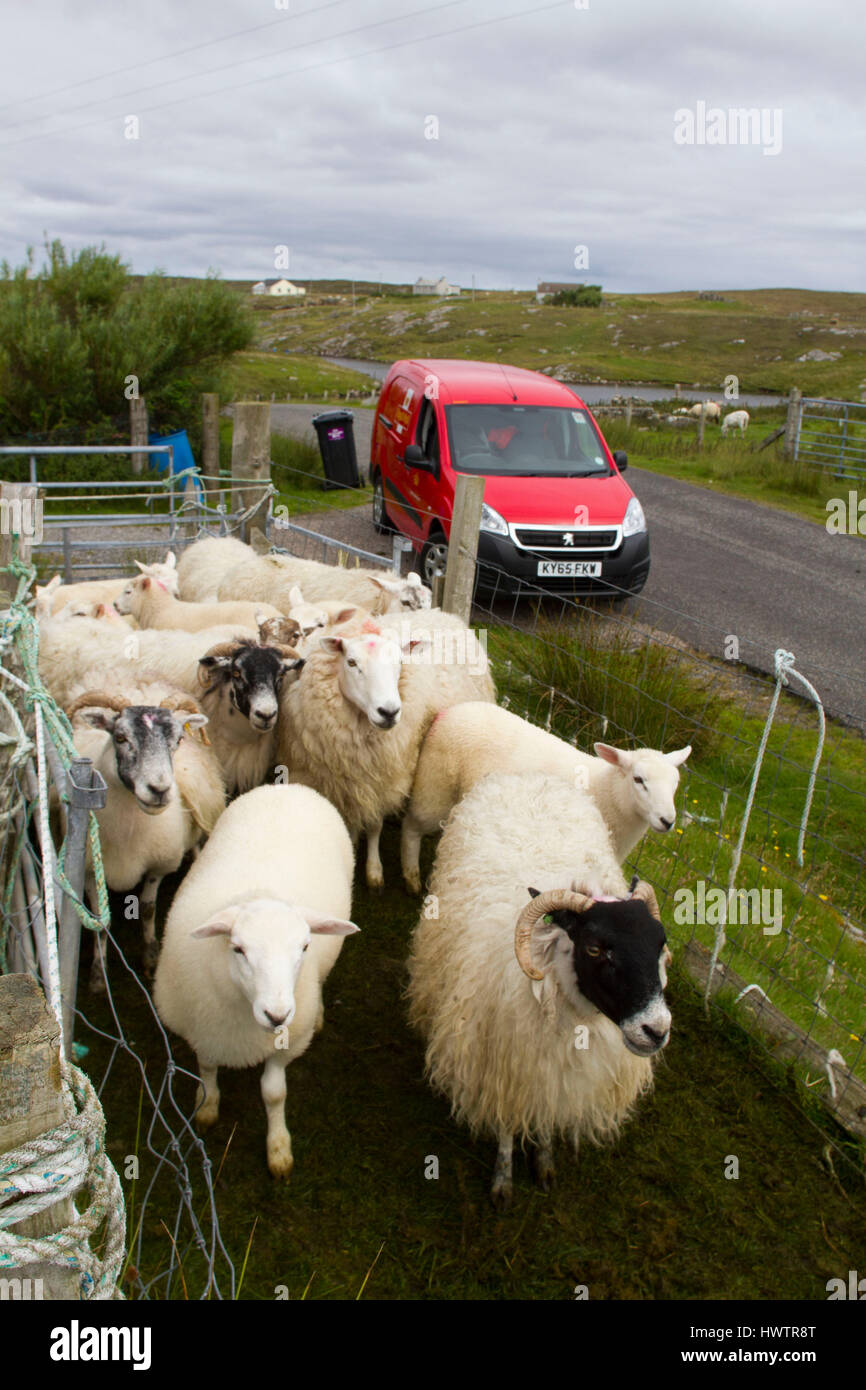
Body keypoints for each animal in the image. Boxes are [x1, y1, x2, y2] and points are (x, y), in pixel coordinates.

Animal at [66, 679, 226, 986]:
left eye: (178, 740)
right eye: (120, 737)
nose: (159, 790)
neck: (128, 831)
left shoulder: (159, 865)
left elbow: (148, 909)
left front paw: (151, 956)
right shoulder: (90, 870)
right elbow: (99, 920)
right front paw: (98, 973)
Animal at [153, 784, 359, 1179]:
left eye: (304, 946)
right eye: (238, 948)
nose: (277, 1015)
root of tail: (290, 786)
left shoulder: (287, 1043)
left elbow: (273, 1093)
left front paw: (278, 1149)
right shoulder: (202, 1028)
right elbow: (207, 1069)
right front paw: (207, 1108)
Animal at [276, 615, 495, 889]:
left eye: (400, 662)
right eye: (351, 662)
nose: (389, 712)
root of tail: (449, 616)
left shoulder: (383, 780)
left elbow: (374, 824)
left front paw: (373, 870)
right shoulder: (339, 782)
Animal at [400, 702, 690, 894]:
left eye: (675, 784)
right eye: (639, 780)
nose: (667, 821)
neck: (607, 791)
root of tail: (449, 710)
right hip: (435, 785)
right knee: (412, 826)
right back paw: (411, 876)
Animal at [406, 770, 672, 1208]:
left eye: (659, 945)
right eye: (595, 948)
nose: (657, 1030)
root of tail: (530, 777)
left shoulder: (552, 1077)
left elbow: (546, 1119)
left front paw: (544, 1160)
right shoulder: (505, 1069)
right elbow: (506, 1127)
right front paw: (503, 1181)